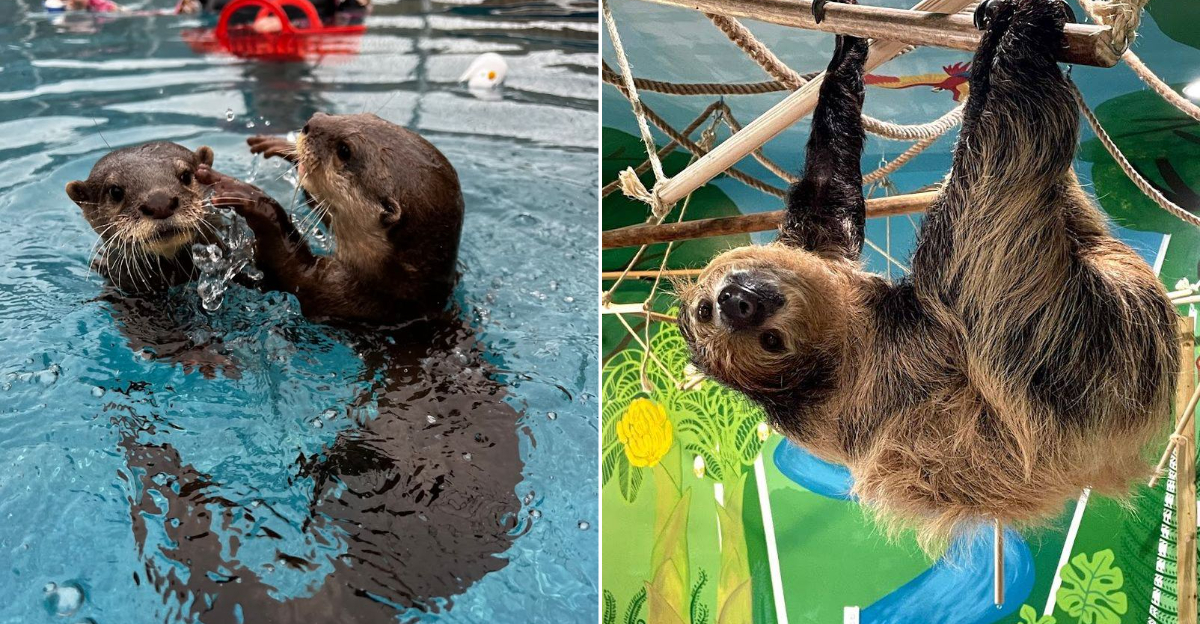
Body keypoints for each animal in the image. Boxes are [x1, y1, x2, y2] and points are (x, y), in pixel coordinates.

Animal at [196, 112, 464, 323]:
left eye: (344, 150)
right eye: (367, 116)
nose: (312, 121)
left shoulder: (338, 295)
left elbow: (287, 269)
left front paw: (247, 195)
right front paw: (283, 147)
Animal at [676, 0, 1179, 547]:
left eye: (706, 308)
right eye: (771, 343)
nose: (737, 304)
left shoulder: (818, 252)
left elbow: (827, 193)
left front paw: (846, 46)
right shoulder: (883, 373)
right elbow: (968, 247)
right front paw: (999, 55)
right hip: (1086, 342)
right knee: (997, 191)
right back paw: (1009, 47)